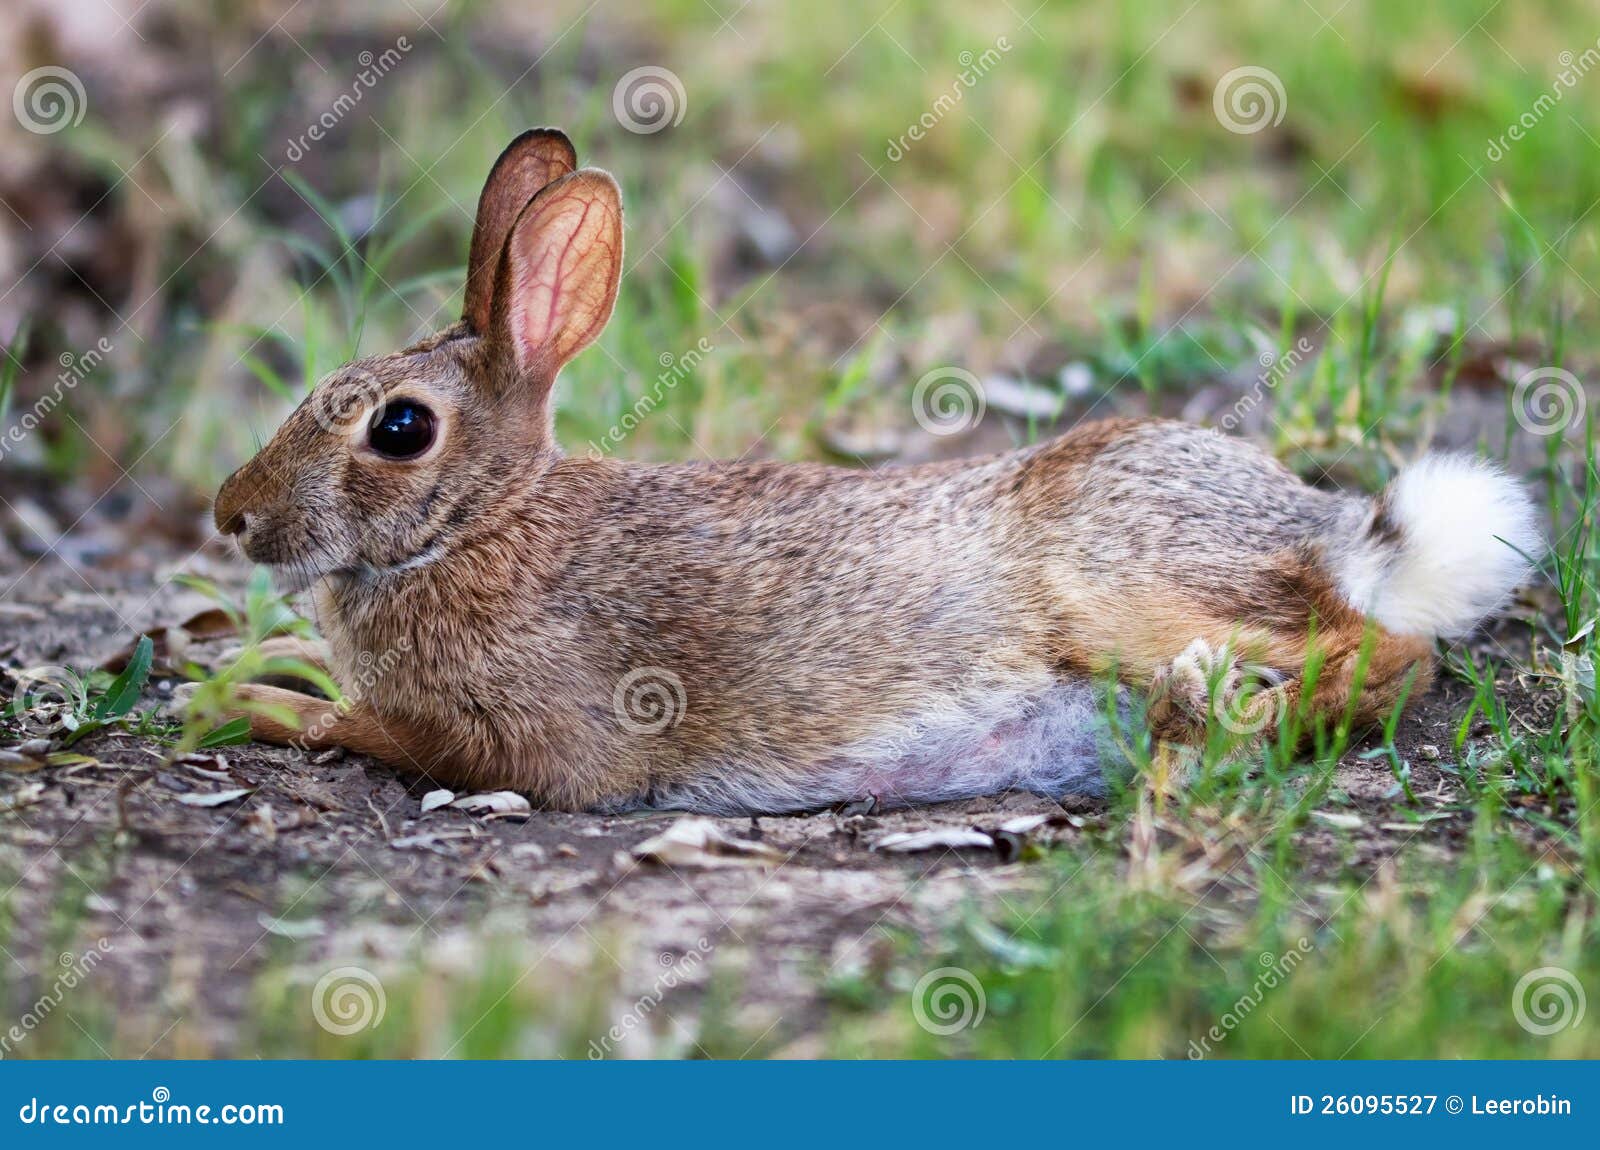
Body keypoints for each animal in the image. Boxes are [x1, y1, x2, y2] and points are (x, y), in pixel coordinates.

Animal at [208, 127, 1543, 815]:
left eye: (399, 430)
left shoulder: (546, 737)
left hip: (1120, 586)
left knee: (1393, 654)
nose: (232, 516)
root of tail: (1334, 531)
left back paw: (1209, 741)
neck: (483, 520)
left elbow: (386, 733)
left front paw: (250, 699)